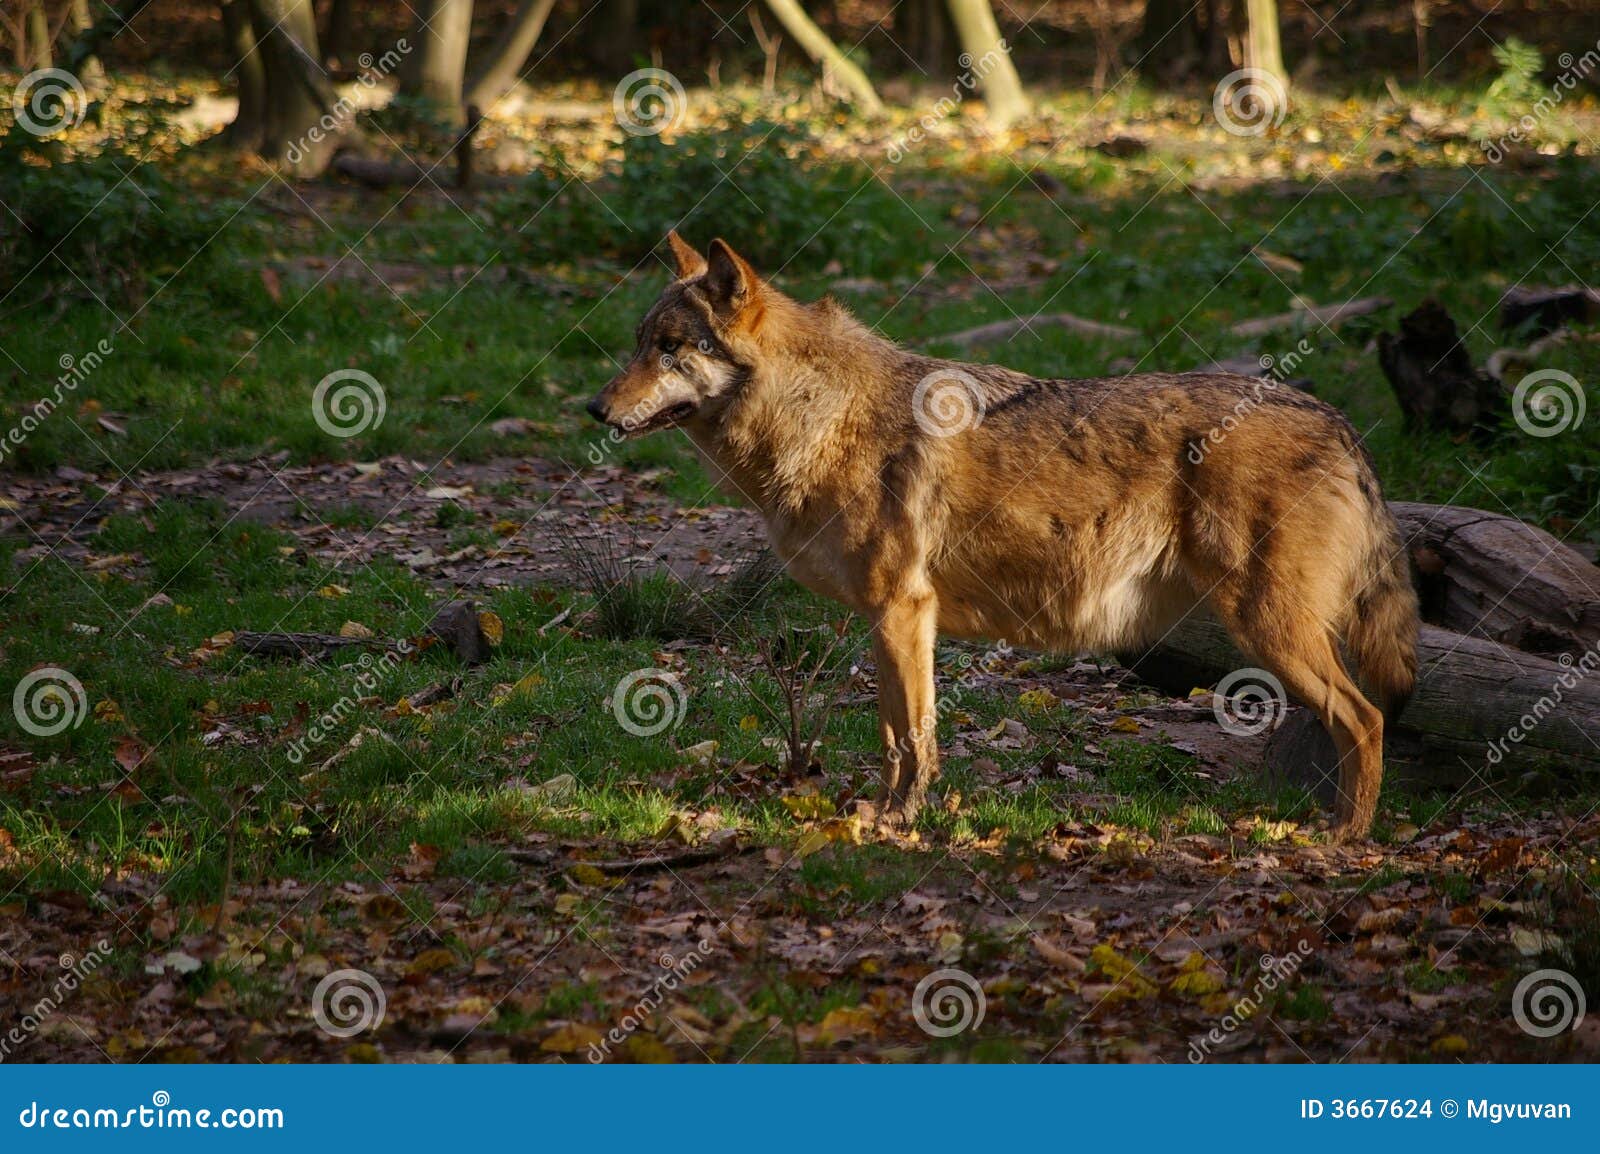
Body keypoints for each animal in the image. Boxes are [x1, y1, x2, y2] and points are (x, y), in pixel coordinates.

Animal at [586, 233, 1419, 841]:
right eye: (639, 343)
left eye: (670, 348)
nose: (595, 408)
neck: (819, 415)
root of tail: (1339, 421)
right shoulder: (893, 621)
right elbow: (899, 733)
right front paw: (892, 816)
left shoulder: (902, 610)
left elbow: (911, 738)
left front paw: (898, 824)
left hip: (1267, 627)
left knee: (1367, 718)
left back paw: (1344, 838)